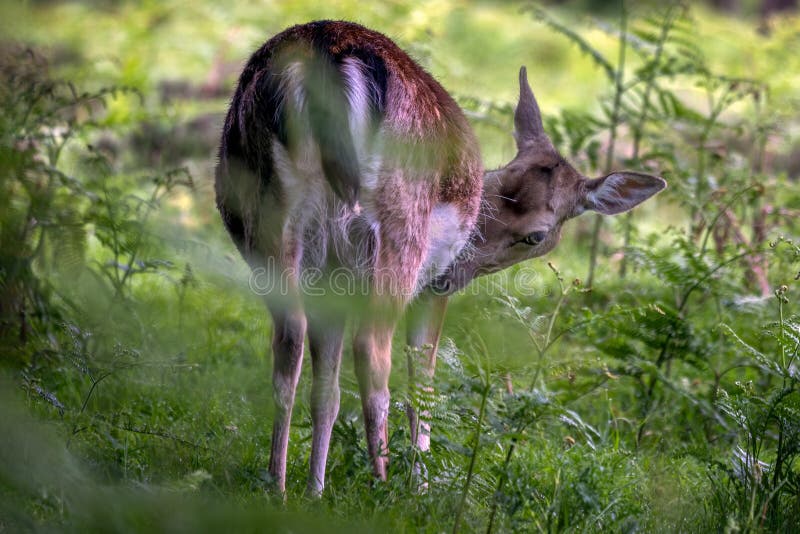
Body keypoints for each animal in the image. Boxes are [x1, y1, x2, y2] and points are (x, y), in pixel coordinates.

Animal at [215, 20, 666, 496]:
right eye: (493, 184)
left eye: (535, 235)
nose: (456, 268)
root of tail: (329, 58)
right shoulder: (429, 290)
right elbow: (424, 385)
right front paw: (421, 486)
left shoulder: (332, 280)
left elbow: (327, 390)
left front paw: (314, 492)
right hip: (400, 230)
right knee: (372, 350)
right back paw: (381, 482)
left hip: (268, 221)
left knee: (289, 341)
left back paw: (277, 486)